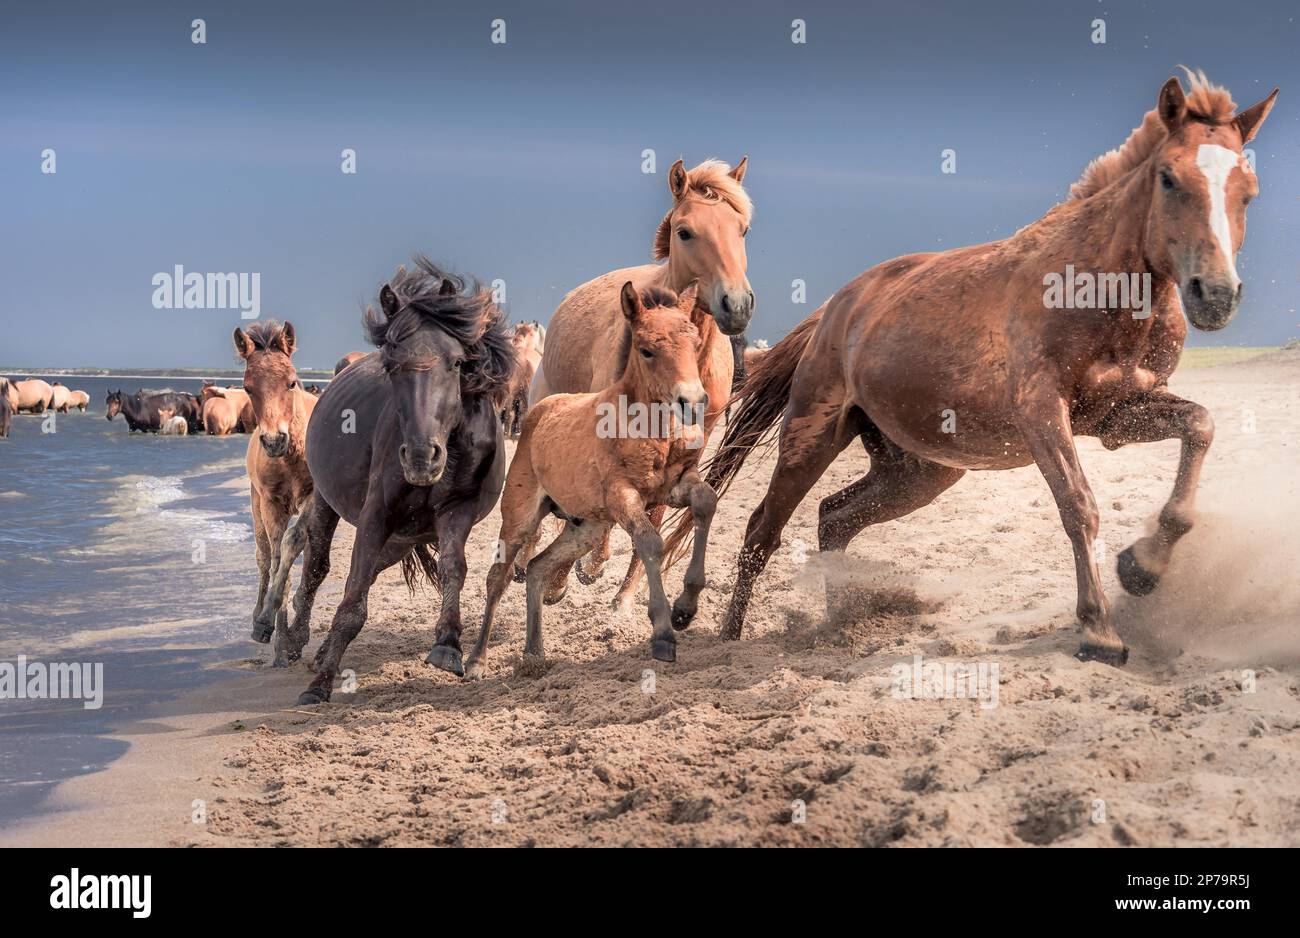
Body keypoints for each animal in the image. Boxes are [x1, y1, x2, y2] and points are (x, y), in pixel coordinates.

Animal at [234, 322, 318, 654]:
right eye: (247, 388)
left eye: (291, 383)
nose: (273, 441)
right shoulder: (271, 502)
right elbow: (276, 558)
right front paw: (268, 625)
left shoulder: (313, 496)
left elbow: (293, 543)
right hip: (255, 503)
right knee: (263, 556)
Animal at [266, 258, 514, 703]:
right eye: (391, 365)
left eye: (456, 362)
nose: (420, 457)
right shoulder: (376, 514)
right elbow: (351, 601)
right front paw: (319, 684)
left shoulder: (457, 509)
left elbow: (454, 567)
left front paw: (447, 645)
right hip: (330, 505)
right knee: (316, 567)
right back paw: (294, 641)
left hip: (403, 538)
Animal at [469, 282, 715, 675]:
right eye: (647, 350)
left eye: (695, 344)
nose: (691, 400)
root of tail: (539, 412)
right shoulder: (622, 495)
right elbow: (650, 542)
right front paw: (663, 631)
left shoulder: (674, 485)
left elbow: (706, 501)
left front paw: (685, 607)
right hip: (521, 515)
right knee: (500, 576)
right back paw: (476, 660)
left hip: (587, 526)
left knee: (537, 568)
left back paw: (534, 653)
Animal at [528, 157, 754, 609]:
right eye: (685, 231)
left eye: (742, 230)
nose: (736, 304)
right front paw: (579, 570)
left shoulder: (690, 444)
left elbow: (655, 513)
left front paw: (628, 594)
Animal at [702, 70, 1278, 665]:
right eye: (1168, 178)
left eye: (1248, 191)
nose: (1216, 296)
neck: (1099, 287)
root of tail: (835, 309)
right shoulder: (1043, 414)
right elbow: (1079, 505)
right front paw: (1099, 630)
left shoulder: (1118, 415)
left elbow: (1200, 428)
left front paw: (1142, 569)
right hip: (810, 439)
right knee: (761, 531)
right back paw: (727, 642)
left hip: (920, 470)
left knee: (833, 517)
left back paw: (841, 622)